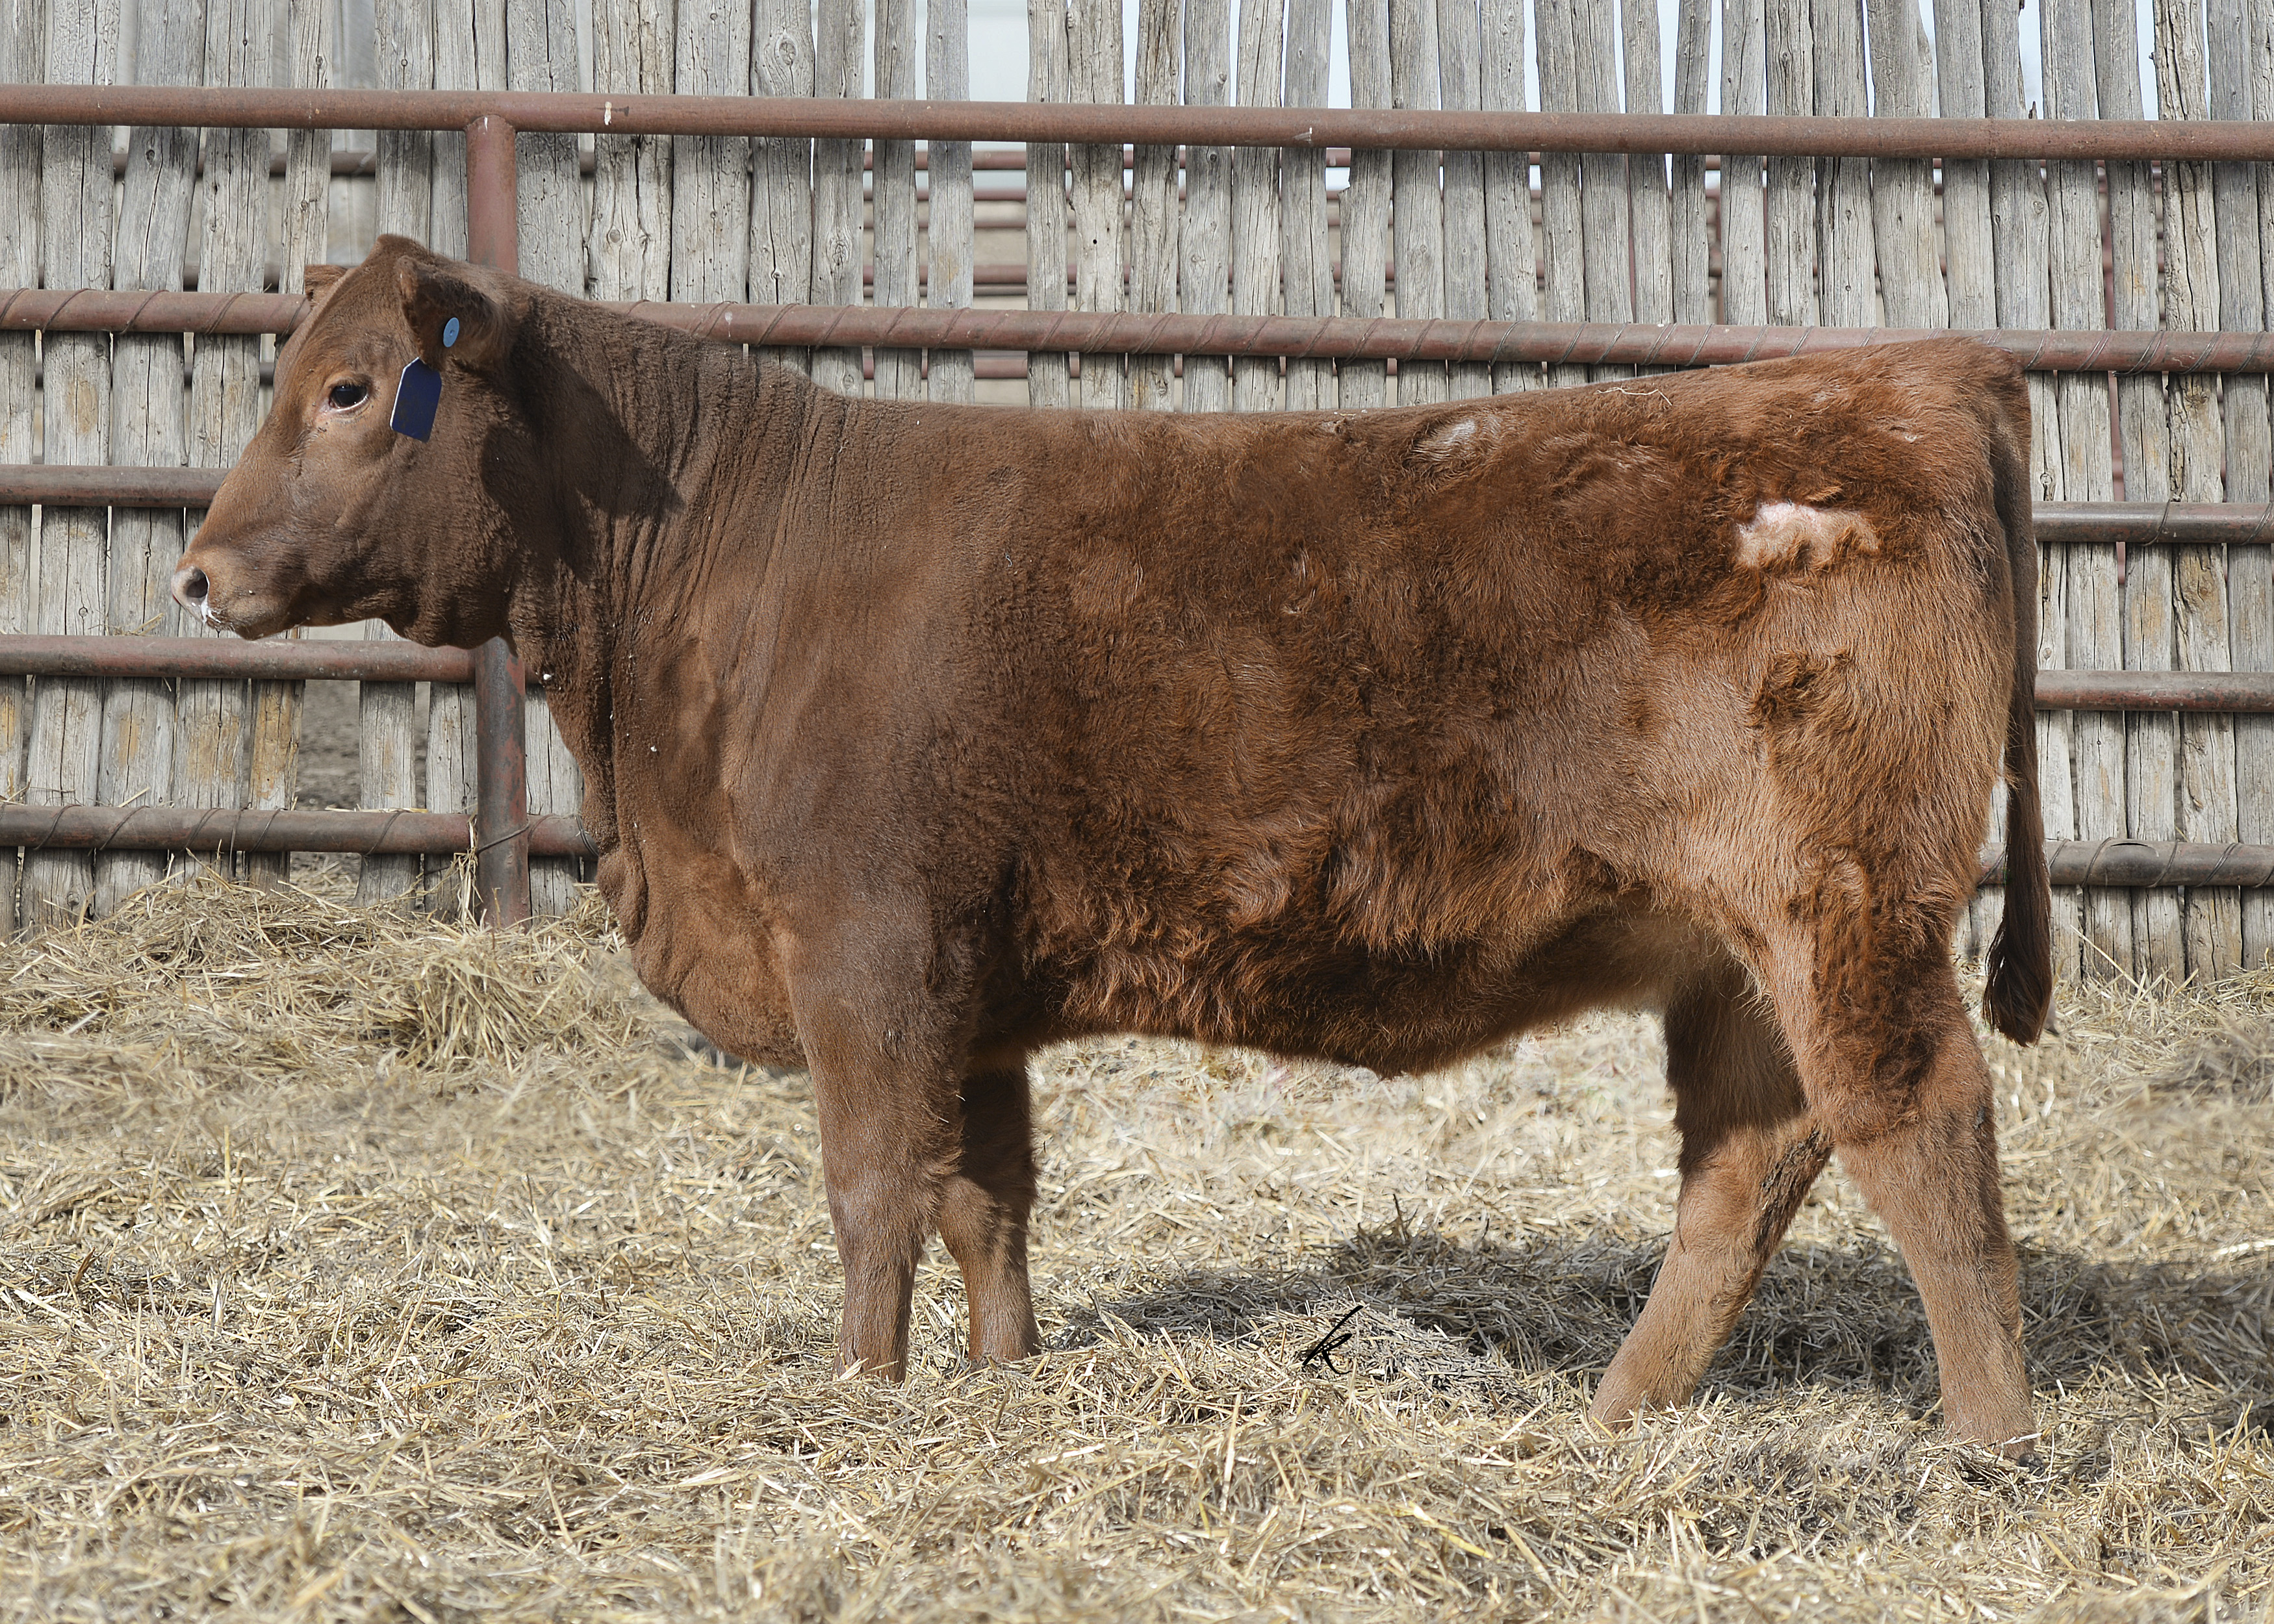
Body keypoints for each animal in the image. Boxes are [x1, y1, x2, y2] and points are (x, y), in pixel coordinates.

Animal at [174, 237, 2053, 1457]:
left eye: (350, 388)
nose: (197, 570)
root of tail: (1914, 373)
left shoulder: (867, 945)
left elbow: (872, 1186)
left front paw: (860, 1395)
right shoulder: (972, 978)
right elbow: (985, 1198)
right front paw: (1002, 1383)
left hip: (1840, 904)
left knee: (1922, 1128)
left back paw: (1985, 1446)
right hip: (1733, 946)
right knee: (1751, 1162)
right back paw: (1611, 1415)